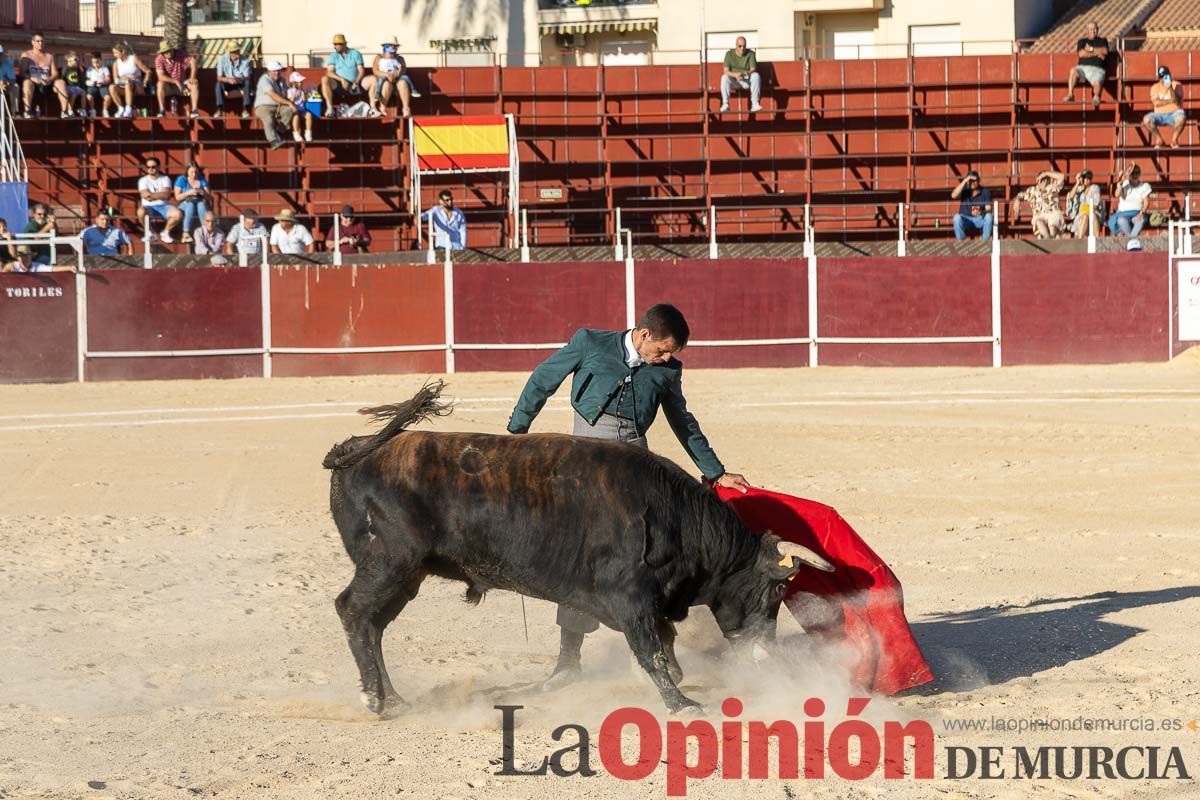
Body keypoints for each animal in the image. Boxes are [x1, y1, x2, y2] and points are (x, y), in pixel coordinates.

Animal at [328, 383, 835, 714]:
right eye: (777, 592)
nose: (767, 650)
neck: (676, 517)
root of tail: (356, 451)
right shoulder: (631, 598)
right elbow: (652, 650)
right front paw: (681, 704)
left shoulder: (646, 602)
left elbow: (664, 646)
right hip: (390, 561)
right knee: (354, 611)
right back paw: (374, 698)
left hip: (406, 574)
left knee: (373, 625)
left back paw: (393, 699)